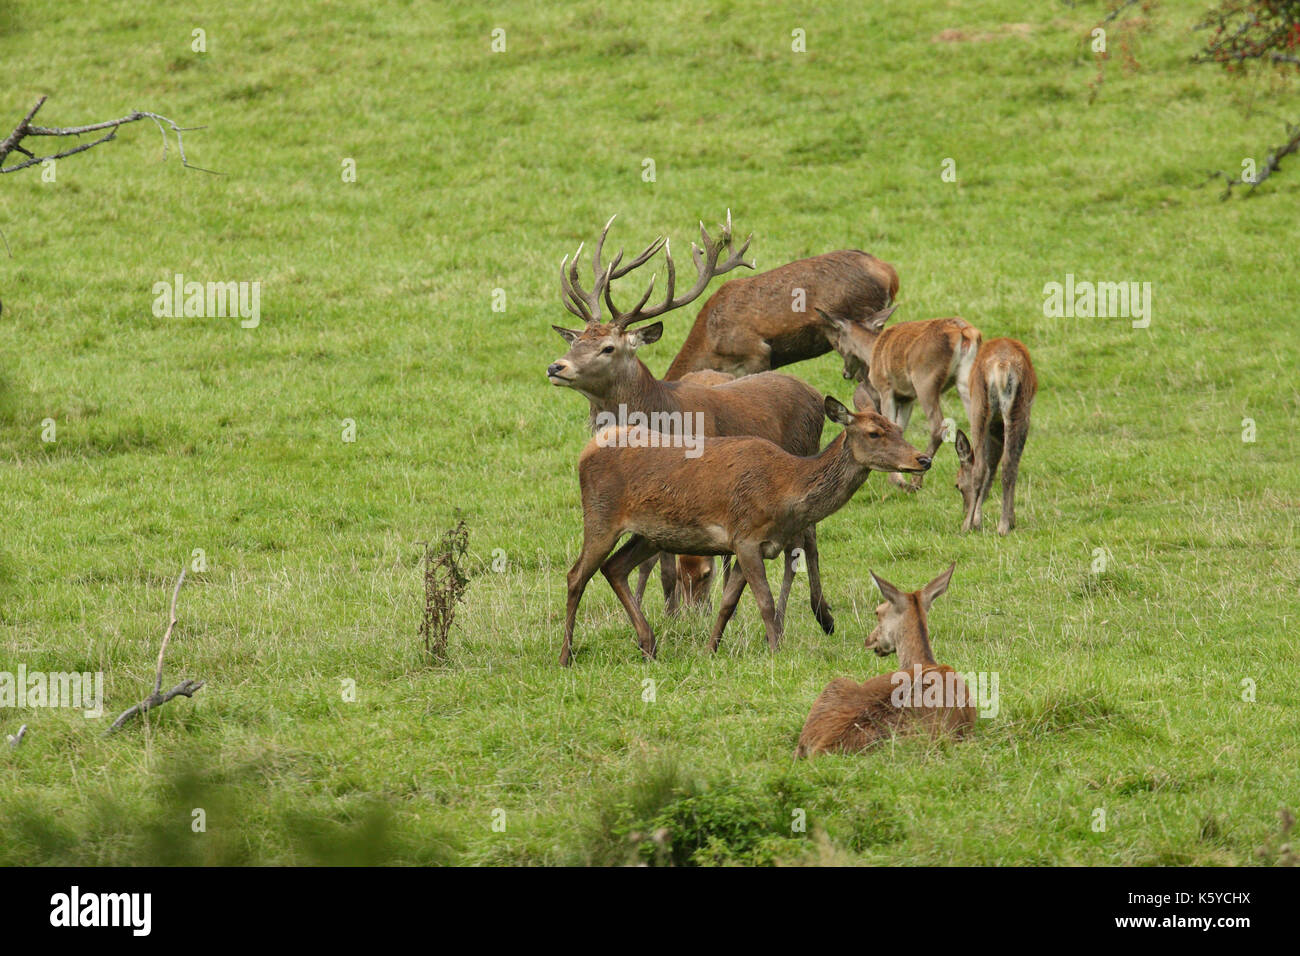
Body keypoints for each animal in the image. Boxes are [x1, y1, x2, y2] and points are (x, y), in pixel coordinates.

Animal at [548, 212, 833, 632]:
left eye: (608, 347)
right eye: (575, 341)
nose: (557, 366)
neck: (661, 414)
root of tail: (813, 391)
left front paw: (681, 615)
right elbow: (658, 562)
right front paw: (662, 612)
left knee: (805, 540)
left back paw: (817, 614)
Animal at [559, 397, 931, 666]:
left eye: (897, 428)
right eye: (873, 433)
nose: (923, 459)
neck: (784, 490)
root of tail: (586, 450)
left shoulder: (745, 545)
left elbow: (727, 602)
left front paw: (709, 651)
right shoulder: (747, 536)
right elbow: (764, 601)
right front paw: (776, 652)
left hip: (650, 534)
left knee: (614, 567)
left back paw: (648, 645)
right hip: (601, 516)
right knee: (576, 575)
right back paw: (566, 655)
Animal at [817, 307, 981, 490]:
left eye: (838, 343)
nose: (845, 373)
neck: (871, 352)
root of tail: (966, 332)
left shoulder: (886, 388)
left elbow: (890, 420)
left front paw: (896, 479)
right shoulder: (907, 397)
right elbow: (900, 426)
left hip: (925, 380)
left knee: (939, 426)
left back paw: (917, 480)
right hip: (966, 380)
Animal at [952, 338, 1037, 535]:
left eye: (957, 485)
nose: (963, 511)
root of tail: (1001, 366)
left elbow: (990, 465)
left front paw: (976, 521)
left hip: (980, 405)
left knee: (986, 467)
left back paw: (975, 525)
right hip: (1016, 409)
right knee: (1007, 465)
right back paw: (1004, 524)